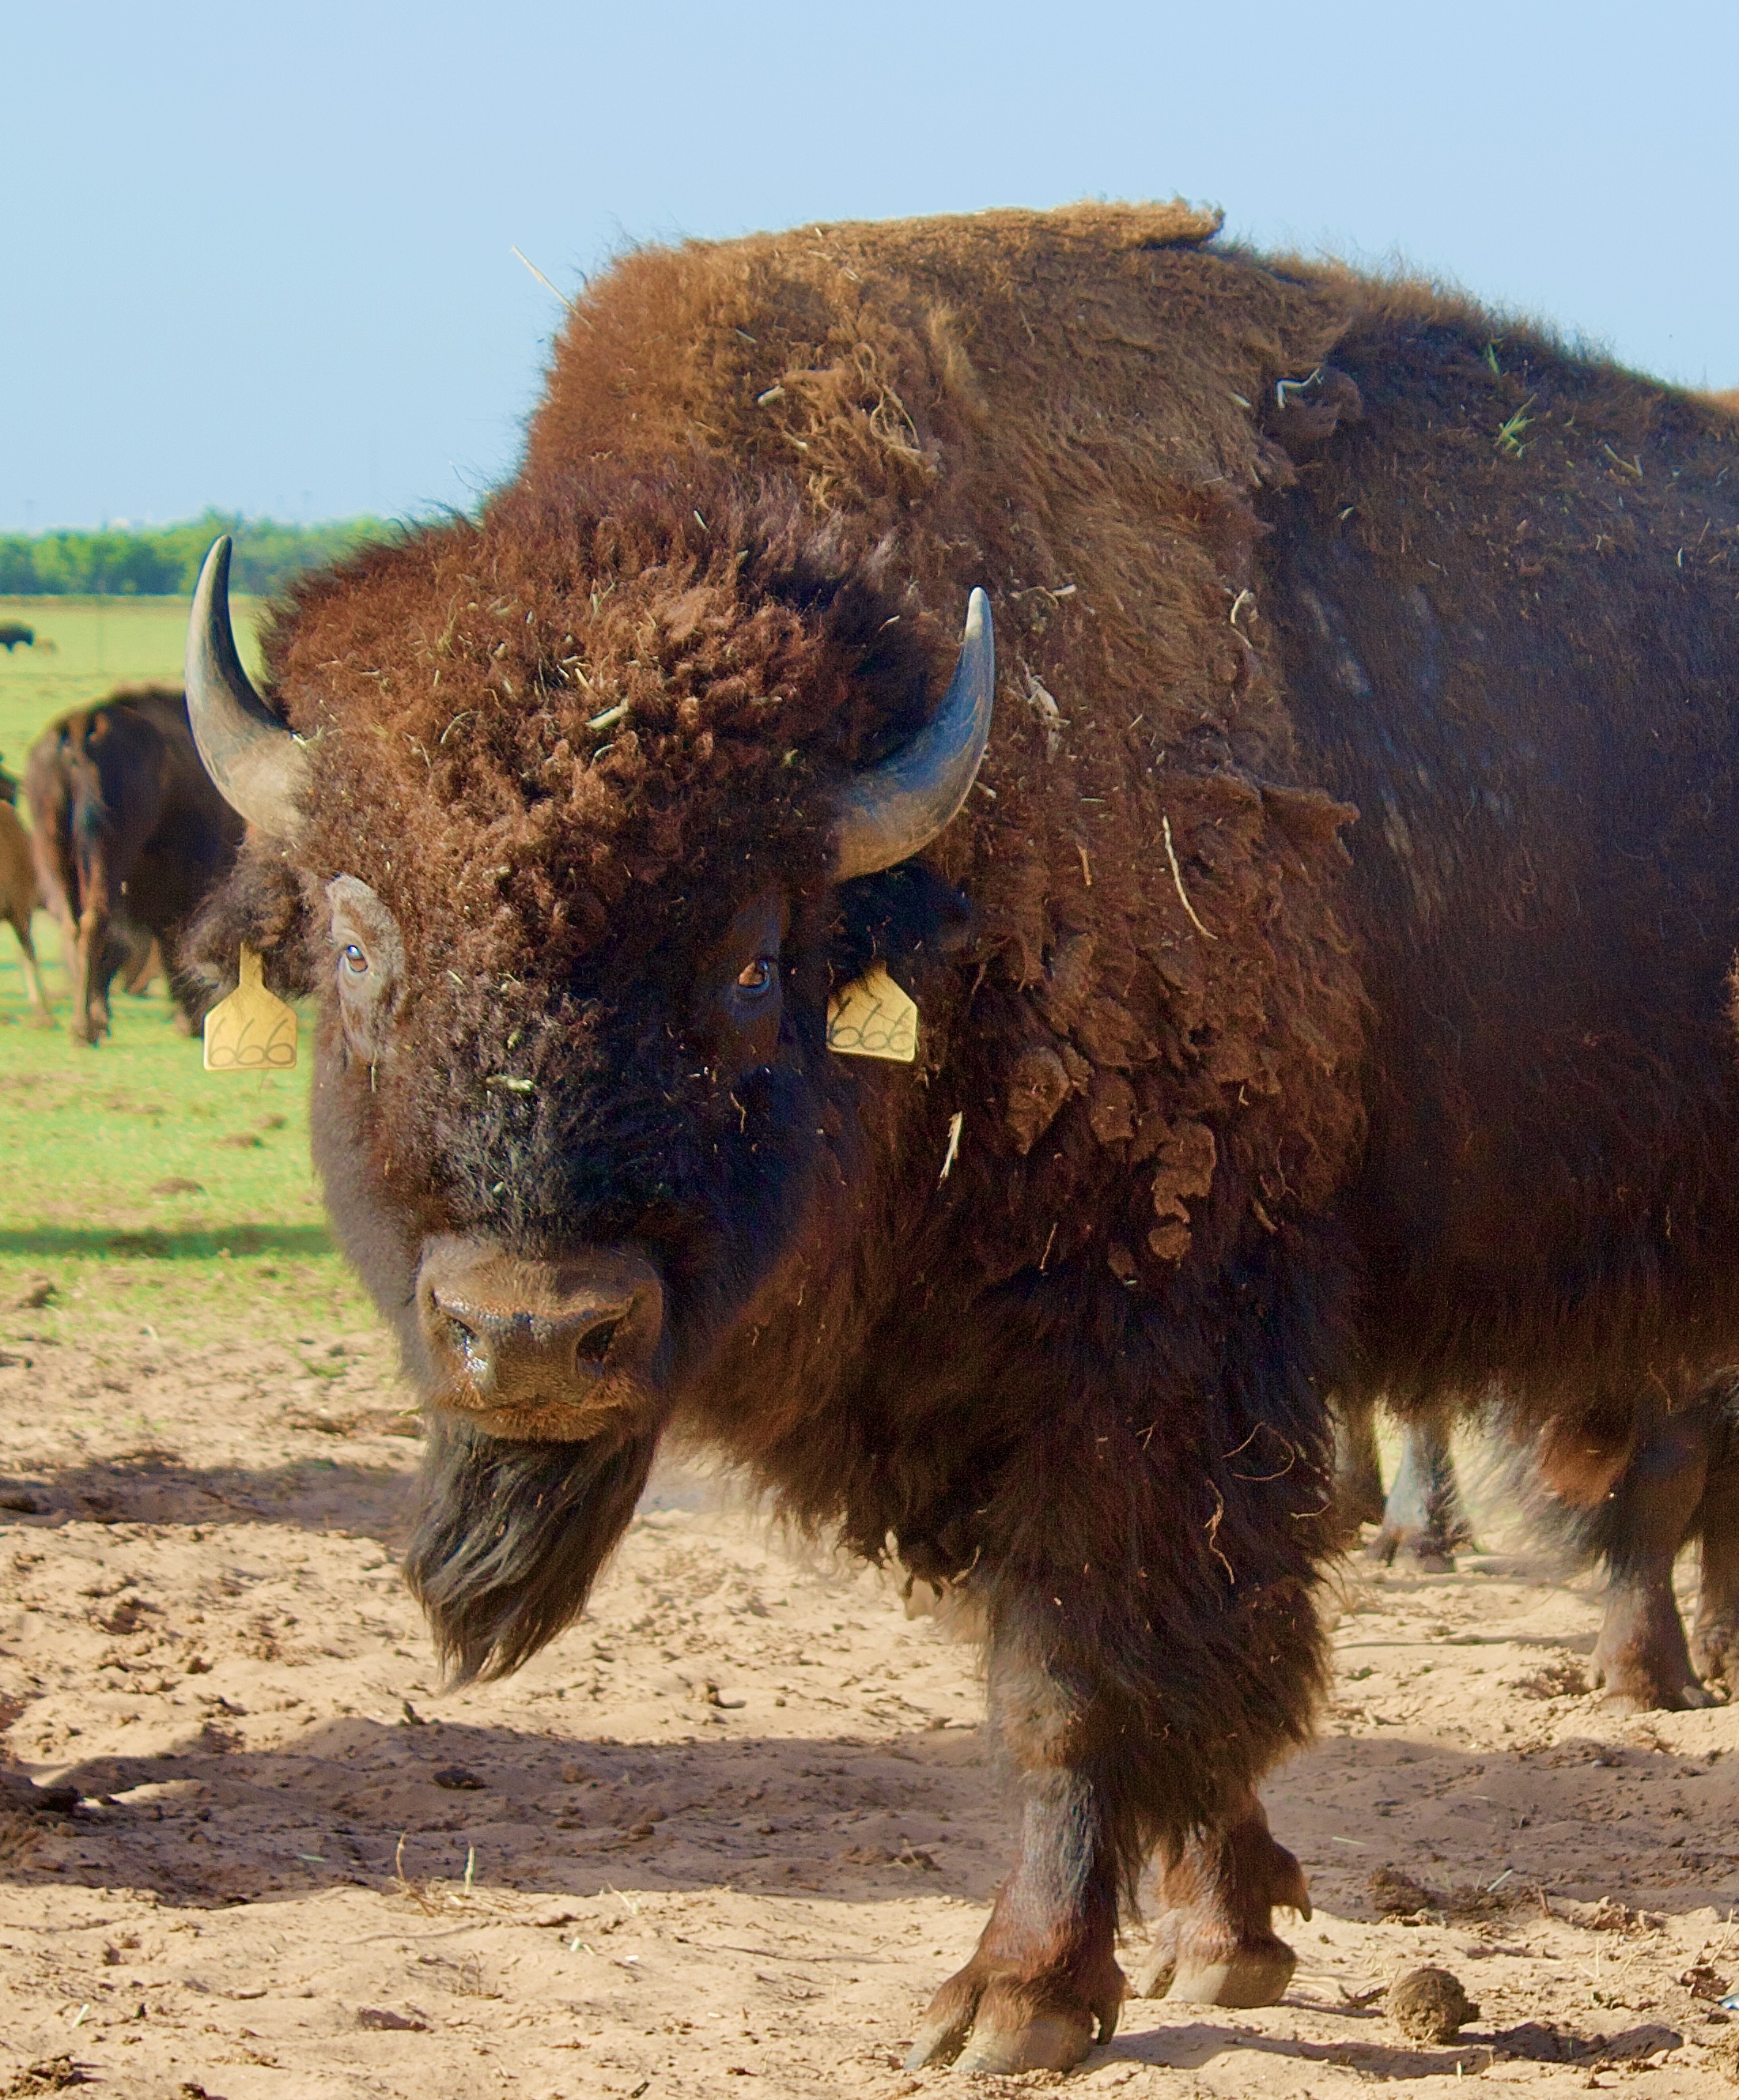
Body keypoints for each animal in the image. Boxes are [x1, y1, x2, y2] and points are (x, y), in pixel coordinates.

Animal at [28, 684, 243, 1043]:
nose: (199, 1025)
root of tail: (84, 723)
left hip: (57, 856)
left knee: (75, 926)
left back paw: (86, 1024)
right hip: (106, 858)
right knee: (96, 924)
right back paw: (86, 1029)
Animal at [182, 202, 1739, 2072]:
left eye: (751, 955)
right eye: (355, 940)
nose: (538, 1331)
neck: (956, 858)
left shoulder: (1140, 1373)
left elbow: (1082, 1679)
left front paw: (1014, 1997)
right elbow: (1174, 1686)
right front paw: (1218, 1943)